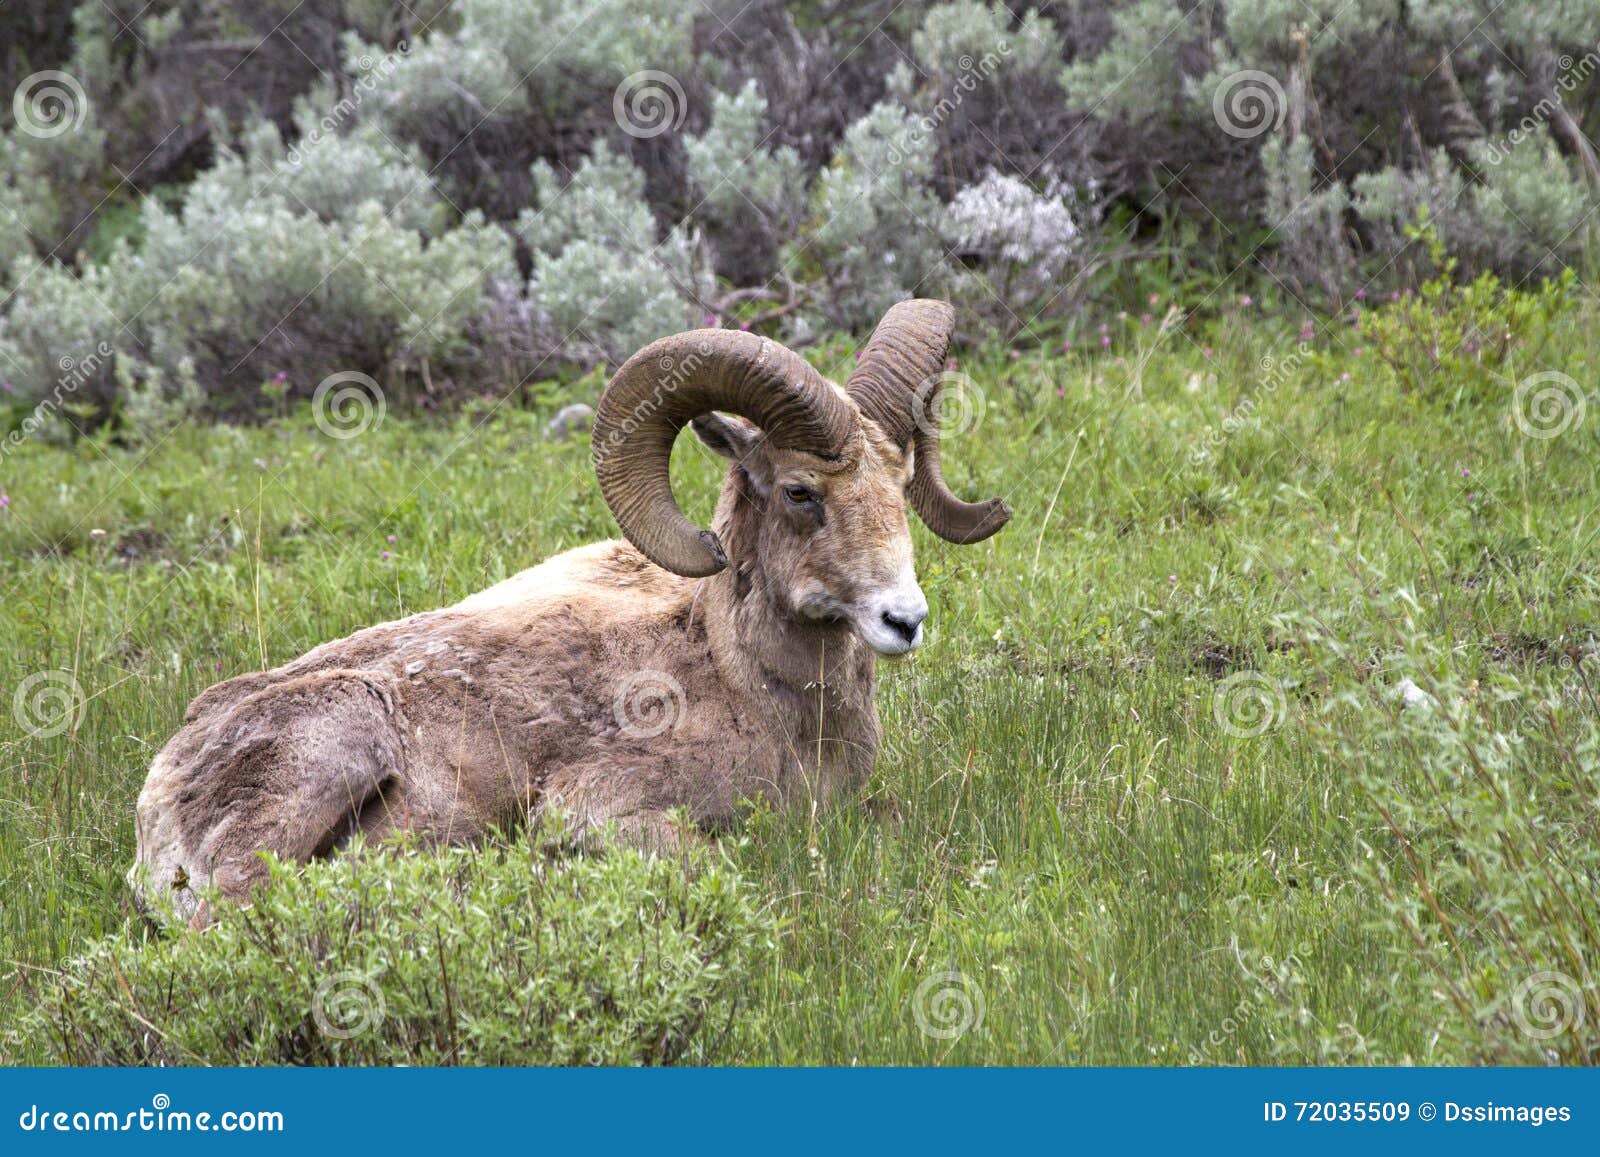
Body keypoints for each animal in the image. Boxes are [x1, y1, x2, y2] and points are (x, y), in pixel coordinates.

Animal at [128, 299, 1010, 926]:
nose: (904, 619)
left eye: (900, 481)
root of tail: (163, 796)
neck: (747, 689)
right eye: (800, 491)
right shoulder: (600, 809)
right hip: (335, 745)